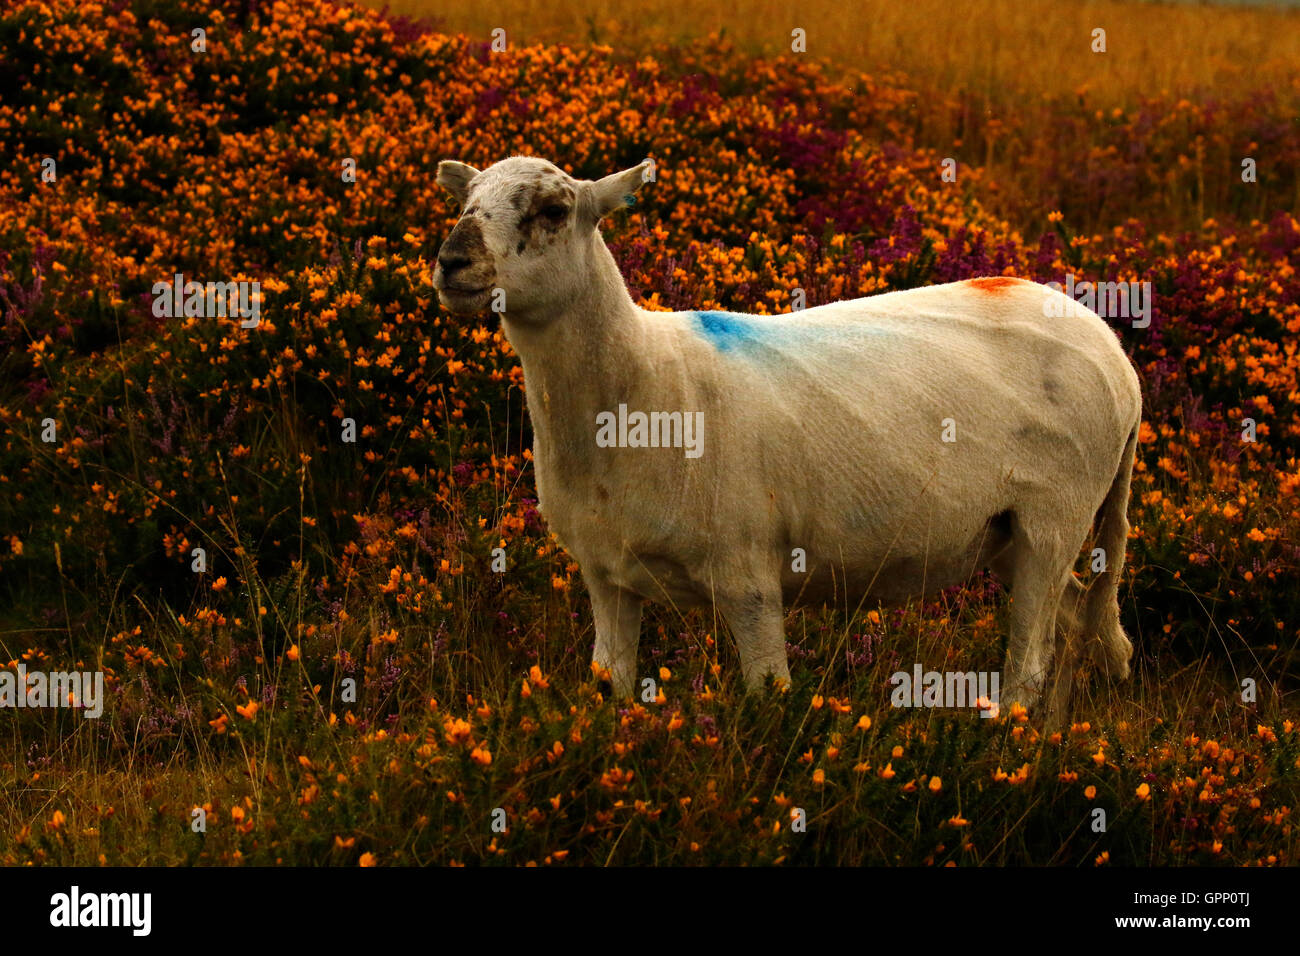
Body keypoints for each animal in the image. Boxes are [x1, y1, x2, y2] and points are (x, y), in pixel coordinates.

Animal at [433, 155, 1141, 719]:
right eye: (465, 201)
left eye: (553, 210)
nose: (451, 261)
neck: (649, 381)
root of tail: (1119, 362)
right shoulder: (606, 577)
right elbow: (612, 685)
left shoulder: (747, 577)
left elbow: (768, 696)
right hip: (1010, 533)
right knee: (1075, 619)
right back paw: (1051, 739)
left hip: (1055, 518)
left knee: (1030, 662)